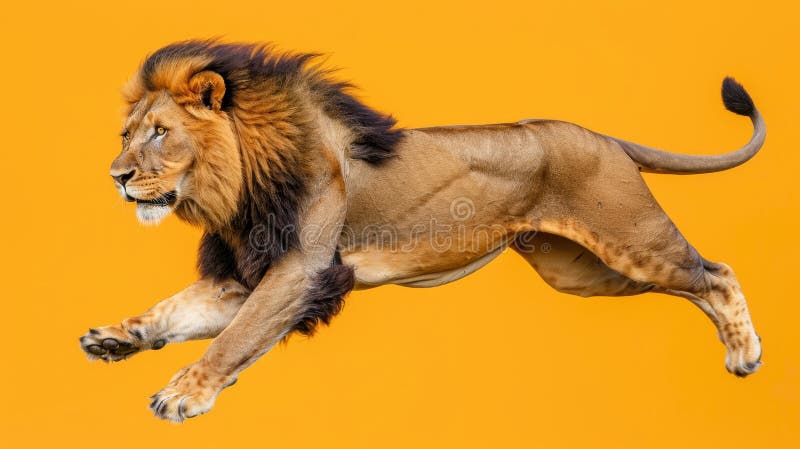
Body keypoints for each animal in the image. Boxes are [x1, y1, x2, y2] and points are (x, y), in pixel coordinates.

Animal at [80, 40, 766, 422]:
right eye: (126, 134)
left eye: (161, 133)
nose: (115, 177)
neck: (237, 186)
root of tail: (602, 136)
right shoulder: (243, 277)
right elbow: (170, 311)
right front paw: (115, 338)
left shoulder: (302, 270)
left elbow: (233, 340)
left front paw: (181, 396)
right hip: (583, 272)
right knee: (694, 284)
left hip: (630, 241)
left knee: (716, 274)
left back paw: (745, 354)